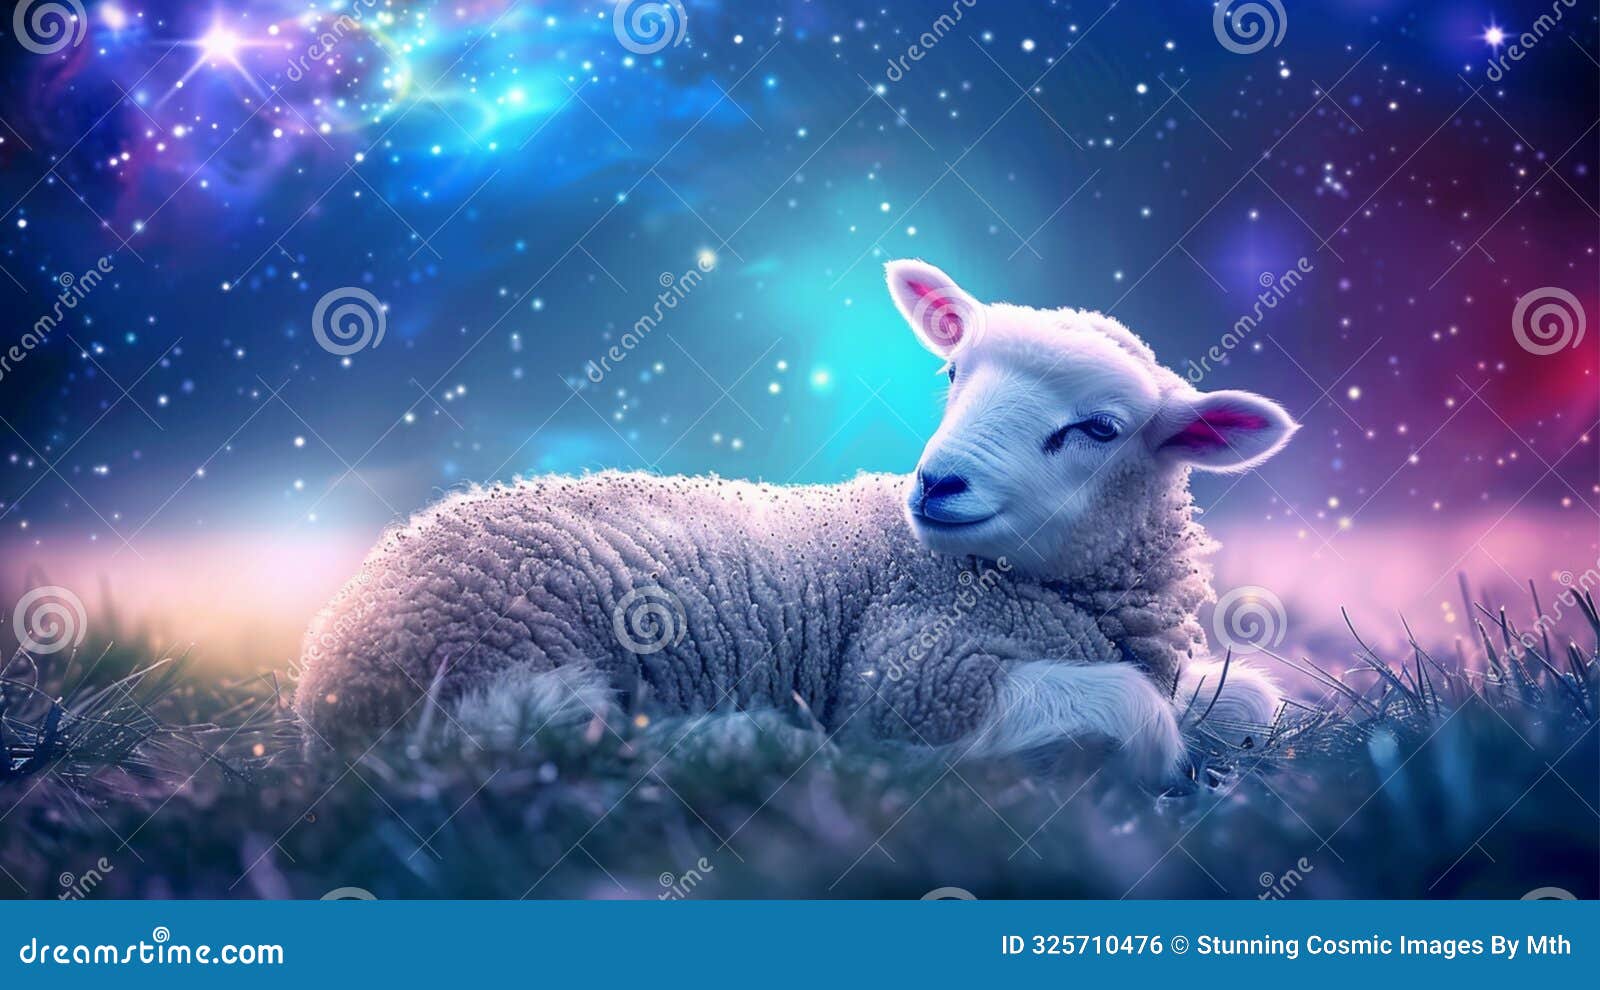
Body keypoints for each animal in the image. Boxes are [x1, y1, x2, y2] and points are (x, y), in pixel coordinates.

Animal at [294, 259, 1297, 780]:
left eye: (1098, 429)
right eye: (952, 374)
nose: (937, 484)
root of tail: (327, 670)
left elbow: (1252, 701)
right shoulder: (914, 668)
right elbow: (1141, 721)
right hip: (505, 653)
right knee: (551, 741)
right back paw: (752, 741)